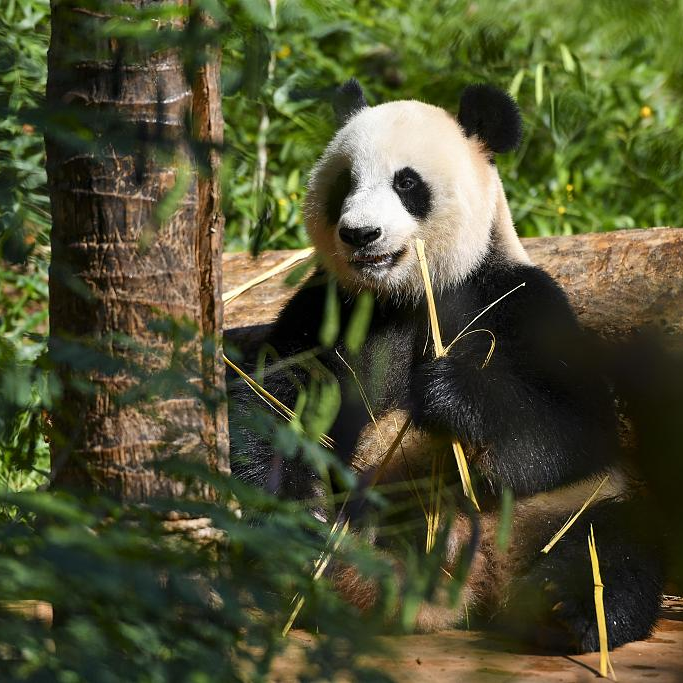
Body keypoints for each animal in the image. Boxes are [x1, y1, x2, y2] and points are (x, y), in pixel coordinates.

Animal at [229, 79, 664, 653]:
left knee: (609, 542)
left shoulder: (516, 298)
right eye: (346, 183)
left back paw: (570, 611)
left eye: (407, 183)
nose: (360, 234)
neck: (406, 293)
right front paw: (300, 501)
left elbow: (575, 424)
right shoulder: (326, 305)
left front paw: (449, 394)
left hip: (557, 510)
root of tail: (479, 581)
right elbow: (274, 390)